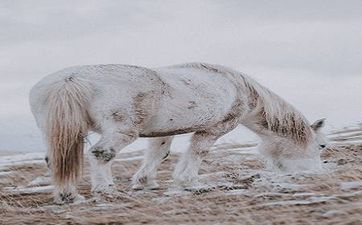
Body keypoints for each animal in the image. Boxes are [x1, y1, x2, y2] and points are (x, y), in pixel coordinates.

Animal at [29, 62, 326, 203]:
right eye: (321, 147)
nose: (316, 173)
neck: (240, 90)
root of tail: (70, 80)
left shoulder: (164, 131)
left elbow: (158, 154)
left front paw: (146, 182)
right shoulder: (213, 129)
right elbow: (198, 153)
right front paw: (189, 182)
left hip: (55, 133)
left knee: (56, 160)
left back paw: (69, 196)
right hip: (121, 131)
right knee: (102, 154)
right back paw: (105, 191)